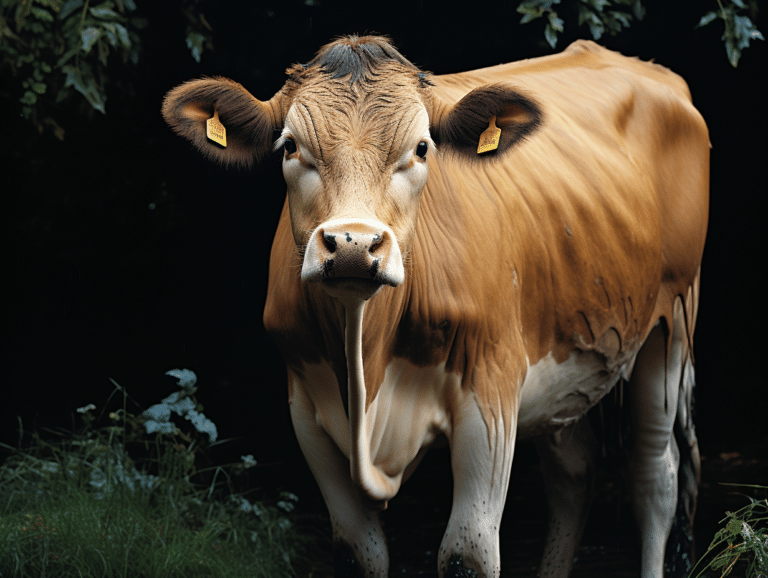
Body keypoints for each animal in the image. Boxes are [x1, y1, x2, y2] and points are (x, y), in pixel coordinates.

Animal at [162, 35, 708, 578]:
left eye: (422, 148)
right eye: (291, 146)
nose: (354, 245)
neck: (368, 363)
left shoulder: (491, 390)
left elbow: (468, 554)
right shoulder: (306, 404)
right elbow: (359, 552)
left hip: (673, 321)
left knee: (655, 476)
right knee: (573, 475)